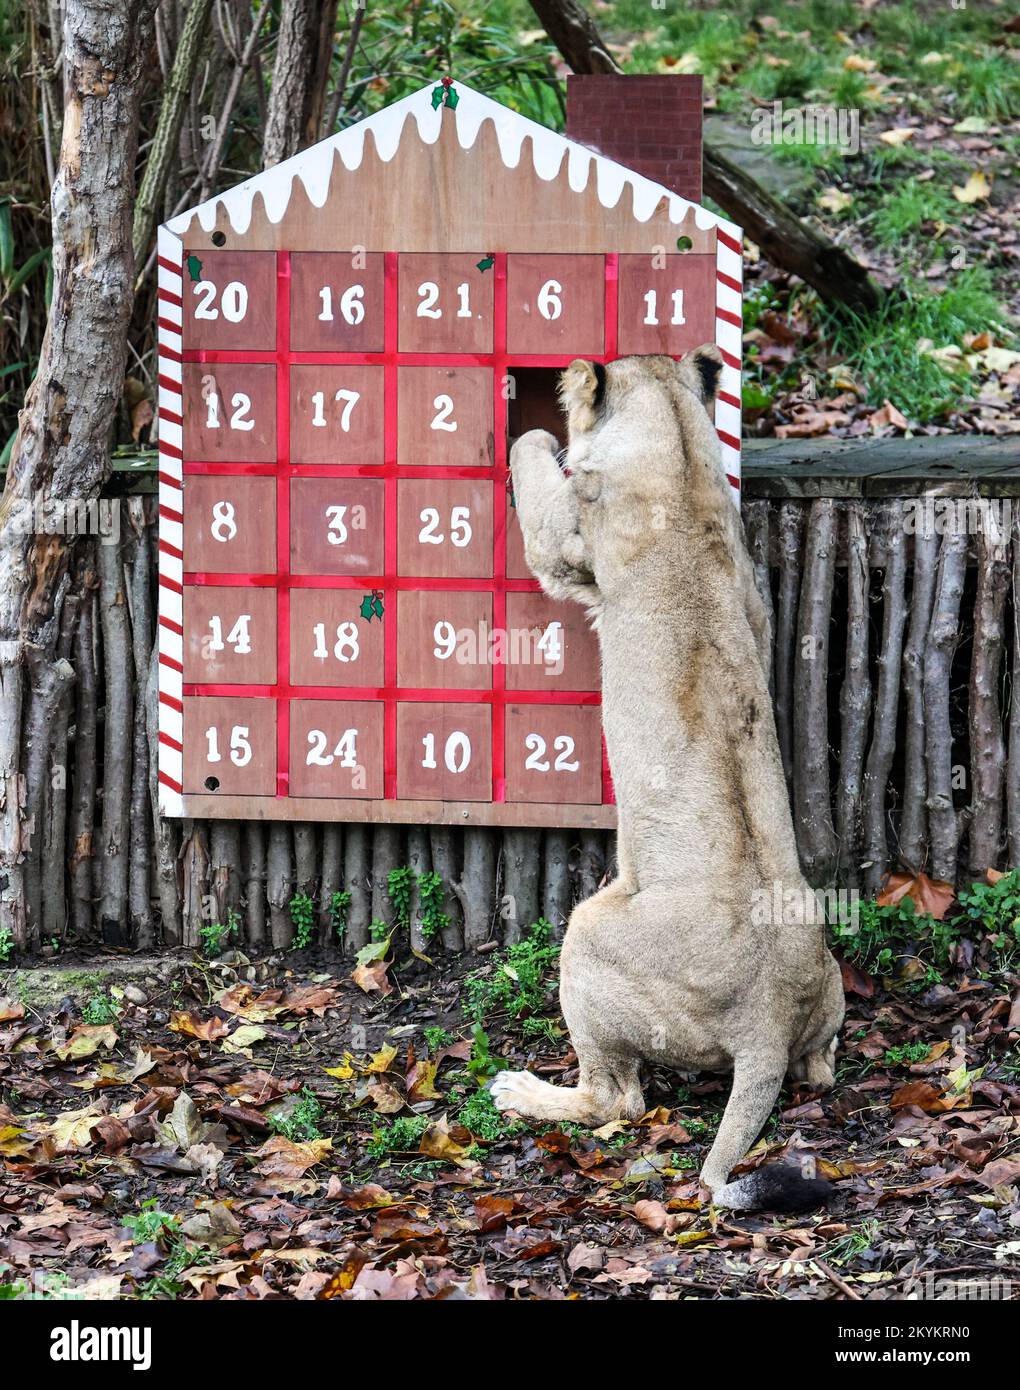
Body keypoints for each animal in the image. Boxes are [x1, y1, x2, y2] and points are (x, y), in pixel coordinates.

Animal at [491, 348, 845, 1211]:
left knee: (616, 1101)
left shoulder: (565, 544)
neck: (678, 444)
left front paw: (537, 426)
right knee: (818, 1070)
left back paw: (521, 1092)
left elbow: (537, 473)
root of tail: (768, 1019)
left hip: (588, 932)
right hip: (823, 989)